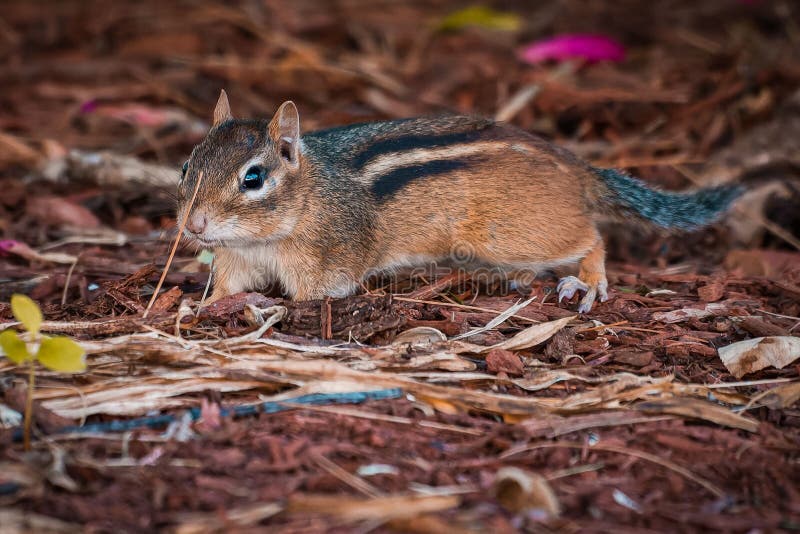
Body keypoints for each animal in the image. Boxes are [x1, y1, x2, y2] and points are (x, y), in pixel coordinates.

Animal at [176, 90, 742, 312]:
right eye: (187, 165)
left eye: (253, 178)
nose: (194, 225)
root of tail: (574, 165)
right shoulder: (234, 262)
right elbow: (223, 291)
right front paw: (193, 306)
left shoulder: (323, 267)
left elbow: (309, 300)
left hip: (514, 236)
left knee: (592, 236)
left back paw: (589, 281)